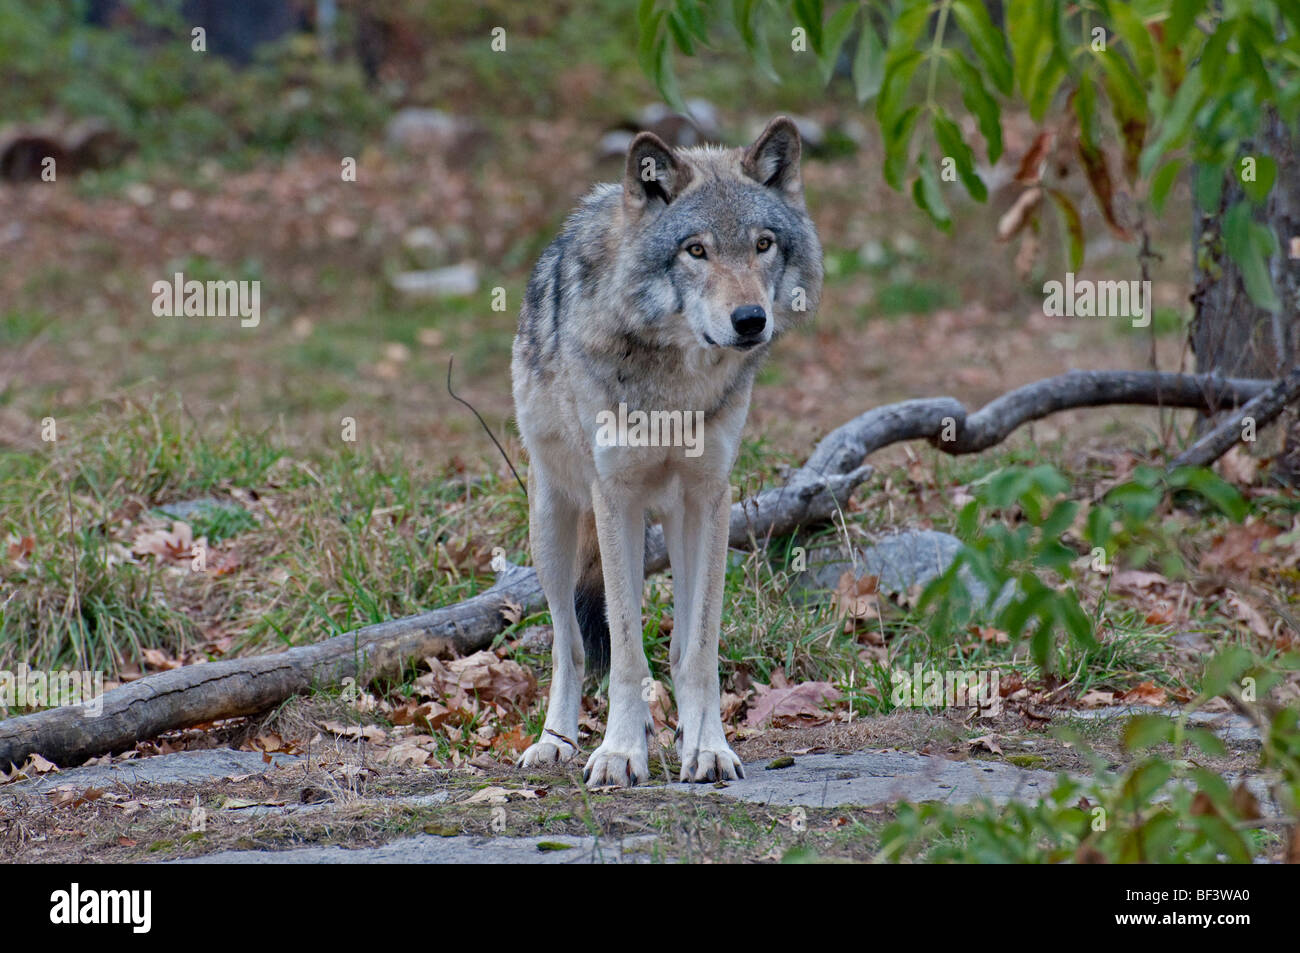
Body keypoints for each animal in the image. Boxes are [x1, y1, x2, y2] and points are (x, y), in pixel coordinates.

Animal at [511, 117, 823, 786]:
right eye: (695, 250)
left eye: (762, 245)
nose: (750, 319)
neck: (676, 384)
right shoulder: (616, 498)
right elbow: (625, 650)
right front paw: (620, 753)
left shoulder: (710, 496)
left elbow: (697, 648)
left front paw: (707, 748)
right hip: (553, 525)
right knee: (570, 646)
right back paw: (557, 742)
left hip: (677, 521)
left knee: (675, 646)